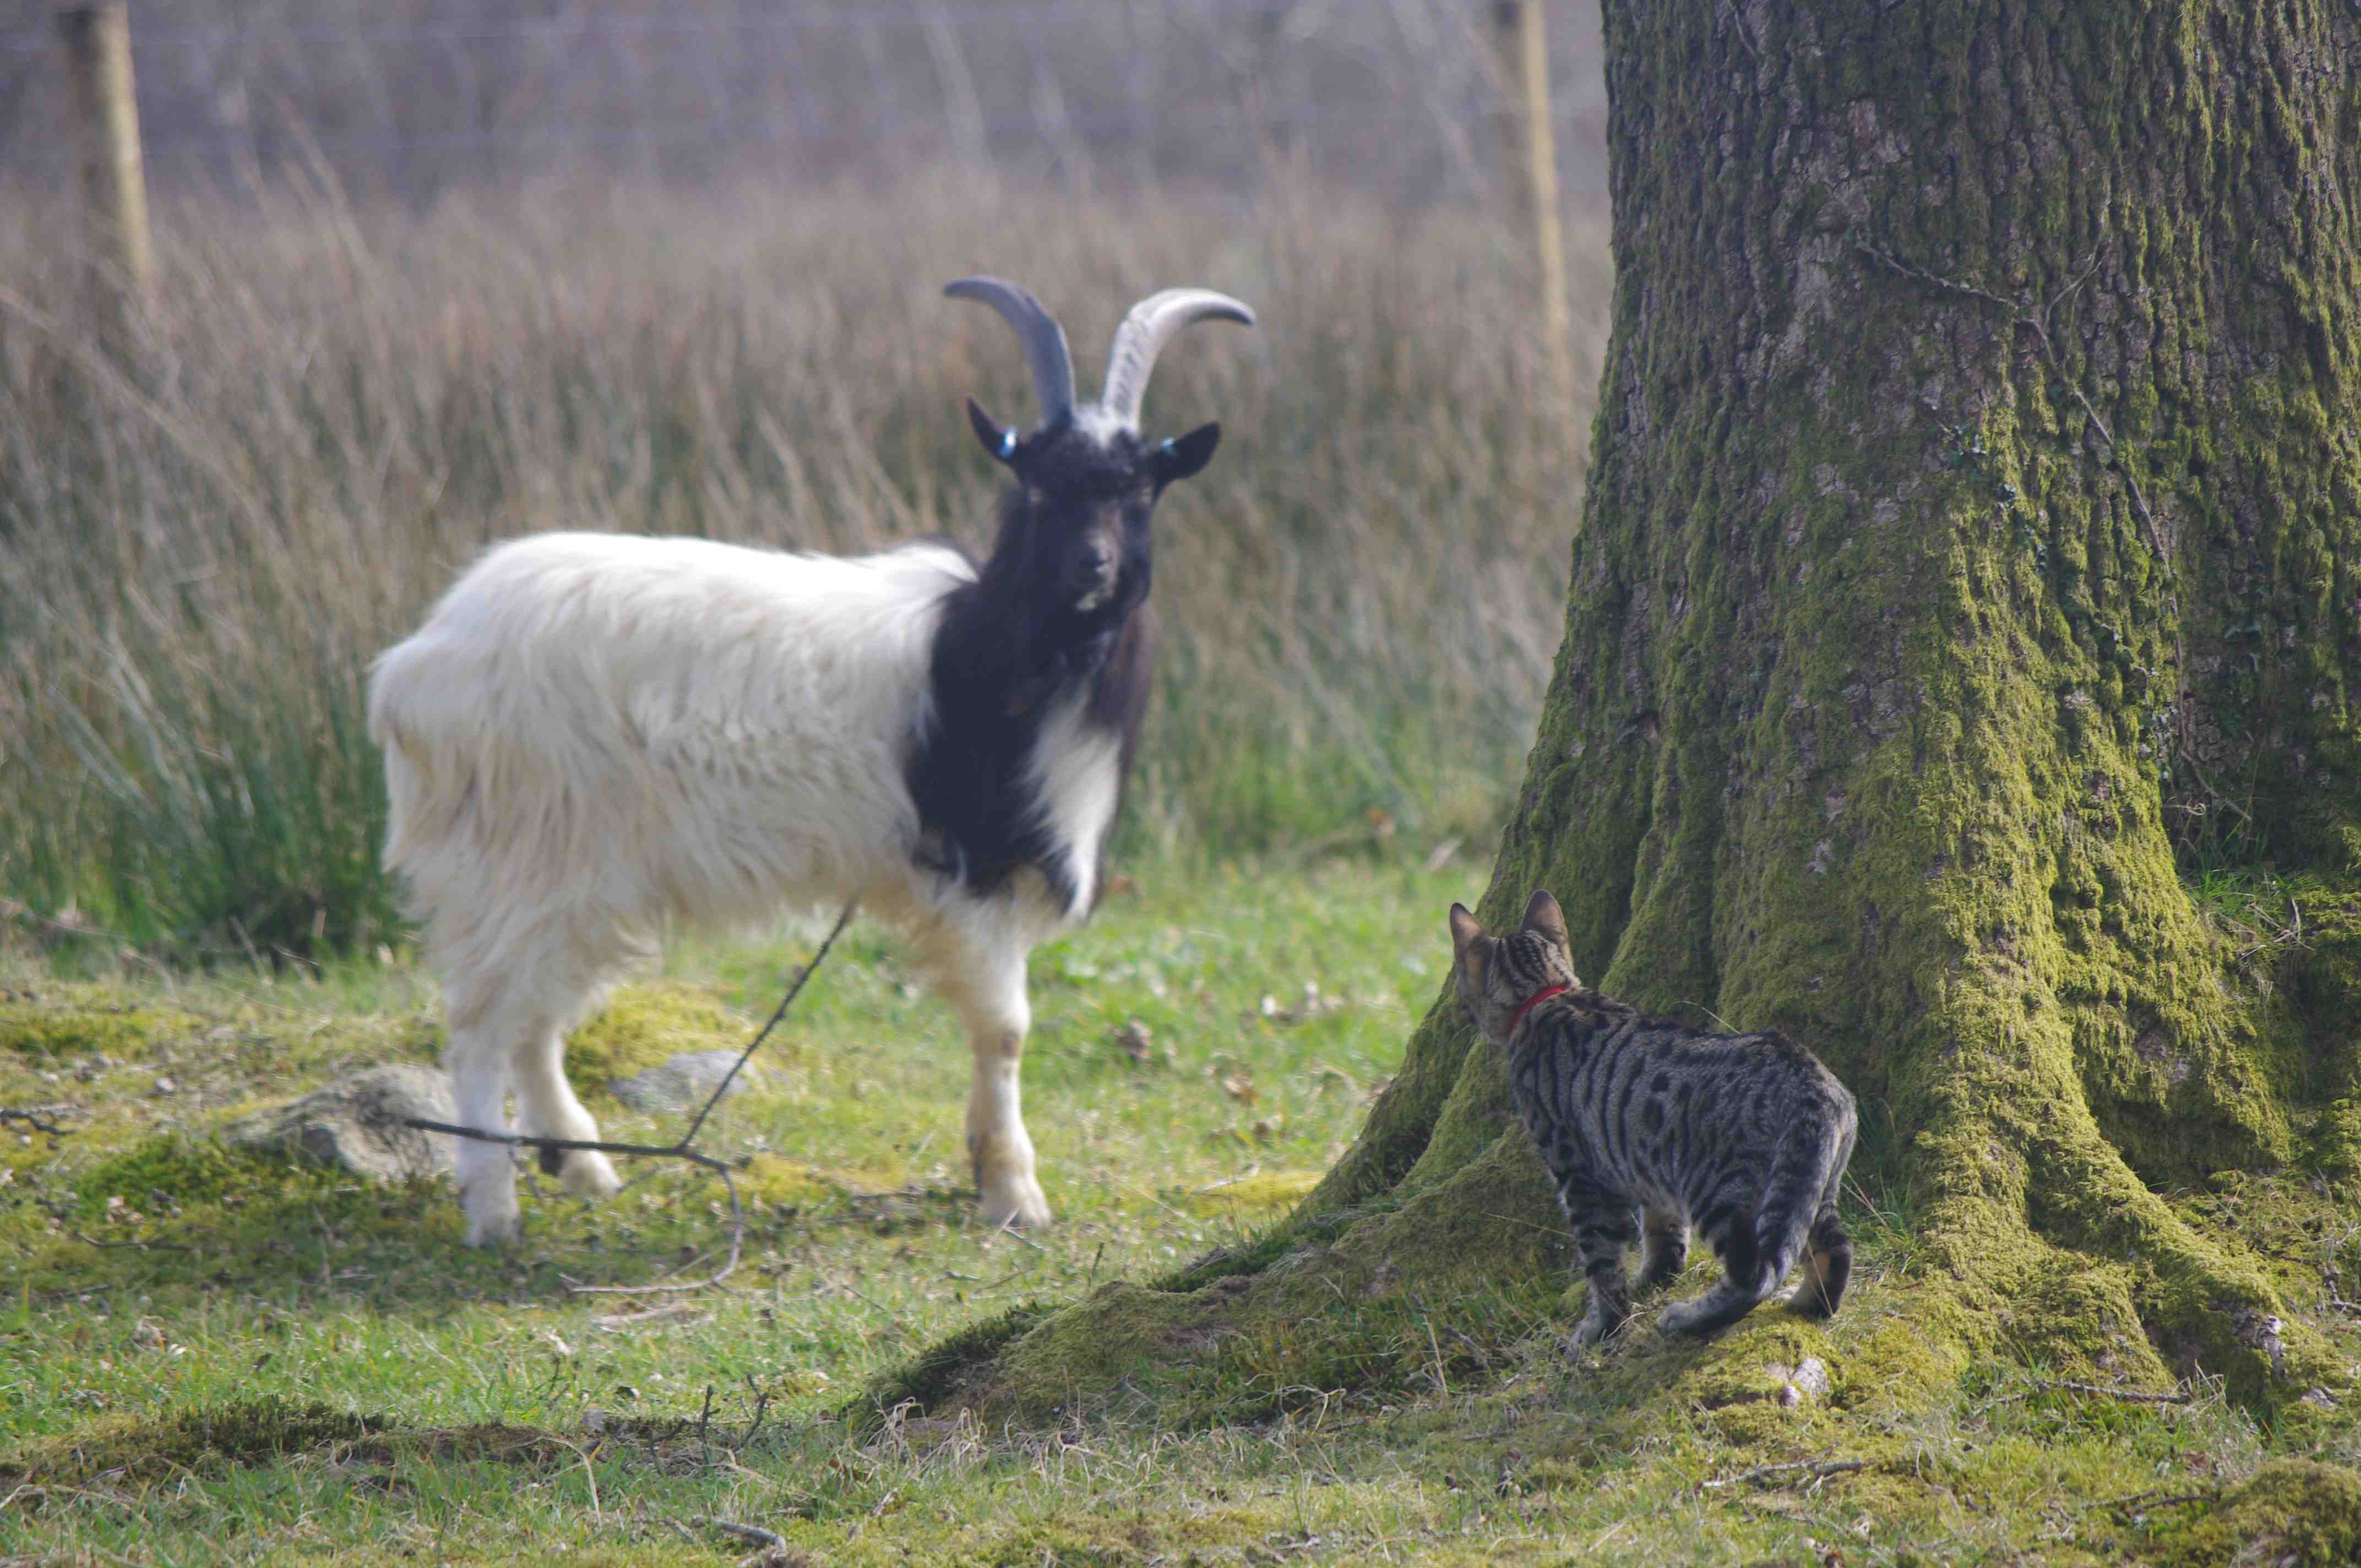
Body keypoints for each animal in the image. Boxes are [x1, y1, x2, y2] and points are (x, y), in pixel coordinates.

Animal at [368, 278, 1254, 1246]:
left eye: (1139, 487)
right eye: (1036, 483)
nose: (1090, 568)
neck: (1009, 651)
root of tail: (417, 664)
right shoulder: (976, 868)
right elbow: (1006, 1029)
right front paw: (1015, 1191)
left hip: (571, 872)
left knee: (534, 1015)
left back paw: (583, 1165)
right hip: (528, 850)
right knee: (482, 1025)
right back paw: (494, 1209)